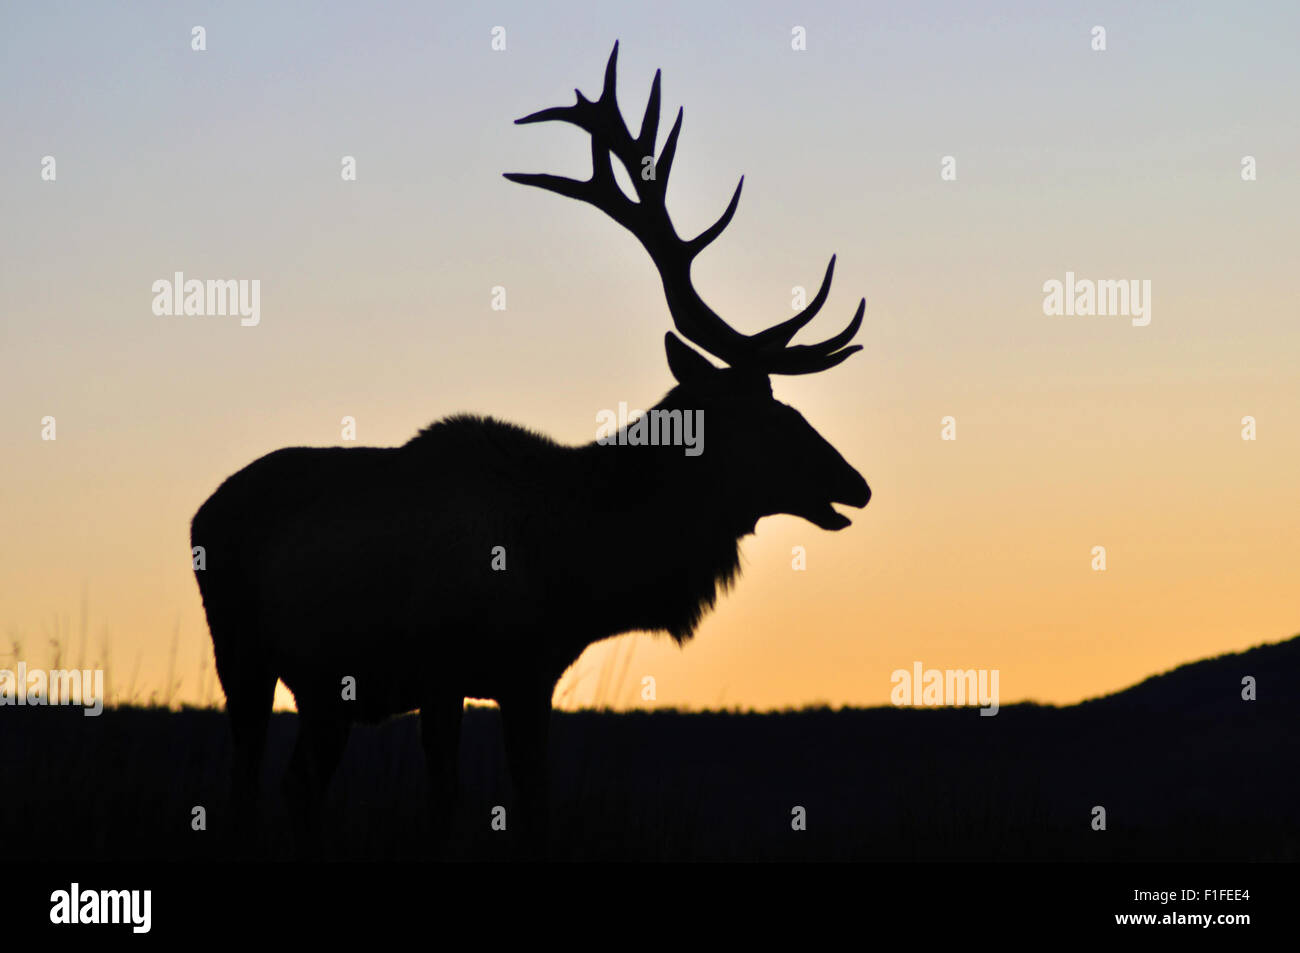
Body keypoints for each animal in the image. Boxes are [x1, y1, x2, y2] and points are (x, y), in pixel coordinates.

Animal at [191, 41, 870, 856]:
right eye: (766, 417)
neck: (575, 559)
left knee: (295, 789)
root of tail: (201, 512)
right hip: (243, 655)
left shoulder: (531, 674)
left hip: (324, 692)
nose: (856, 482)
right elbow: (448, 803)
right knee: (244, 788)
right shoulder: (444, 669)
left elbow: (534, 799)